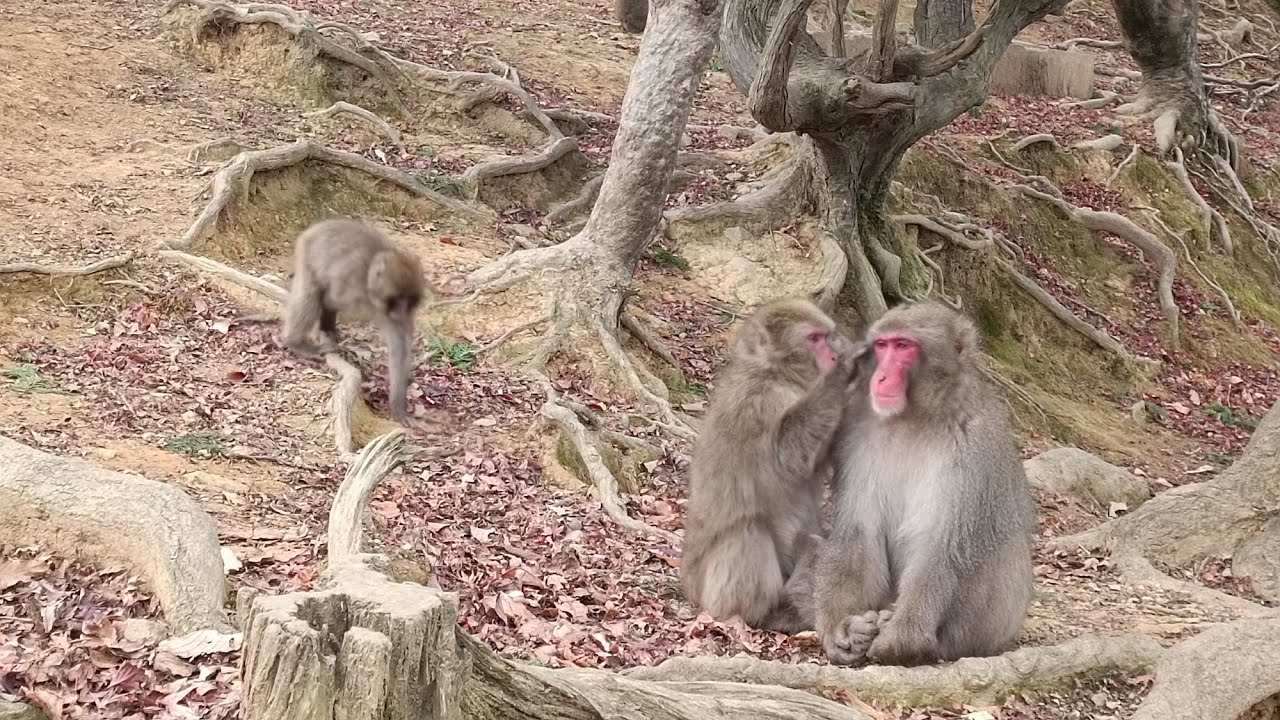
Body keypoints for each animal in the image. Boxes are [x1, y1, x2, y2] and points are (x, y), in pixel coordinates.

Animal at [280, 217, 429, 423]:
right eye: (398, 299)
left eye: (408, 301)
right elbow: (328, 299)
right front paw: (326, 326)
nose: (401, 311)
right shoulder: (350, 284)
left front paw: (399, 408)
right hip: (307, 252)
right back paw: (296, 343)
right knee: (310, 293)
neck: (369, 285)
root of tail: (317, 227)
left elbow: (400, 349)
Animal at [680, 298, 866, 632]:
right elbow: (787, 458)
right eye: (814, 339)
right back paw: (763, 614)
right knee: (749, 531)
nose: (833, 354)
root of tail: (687, 587)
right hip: (708, 592)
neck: (774, 373)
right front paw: (841, 373)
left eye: (827, 337)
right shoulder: (760, 403)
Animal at [814, 300, 1035, 667]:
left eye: (904, 346)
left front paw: (902, 638)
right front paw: (841, 628)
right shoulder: (856, 433)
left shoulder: (973, 443)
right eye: (882, 345)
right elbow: (858, 531)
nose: (881, 376)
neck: (913, 416)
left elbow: (942, 544)